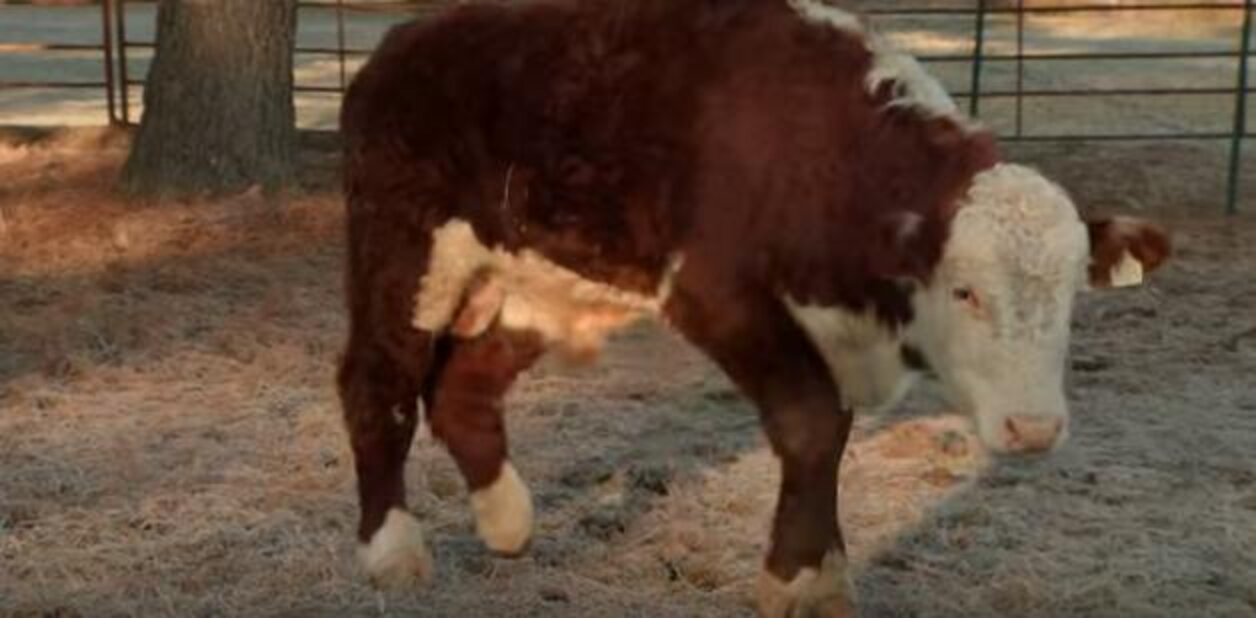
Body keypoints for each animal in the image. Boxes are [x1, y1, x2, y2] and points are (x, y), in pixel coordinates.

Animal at [336, 0, 1172, 615]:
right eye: (963, 290)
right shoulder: (715, 289)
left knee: (464, 391)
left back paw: (508, 524)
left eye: (1073, 293)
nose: (1034, 429)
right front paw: (802, 580)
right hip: (403, 251)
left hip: (533, 278)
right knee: (378, 384)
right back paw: (393, 550)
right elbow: (811, 421)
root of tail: (403, 41)